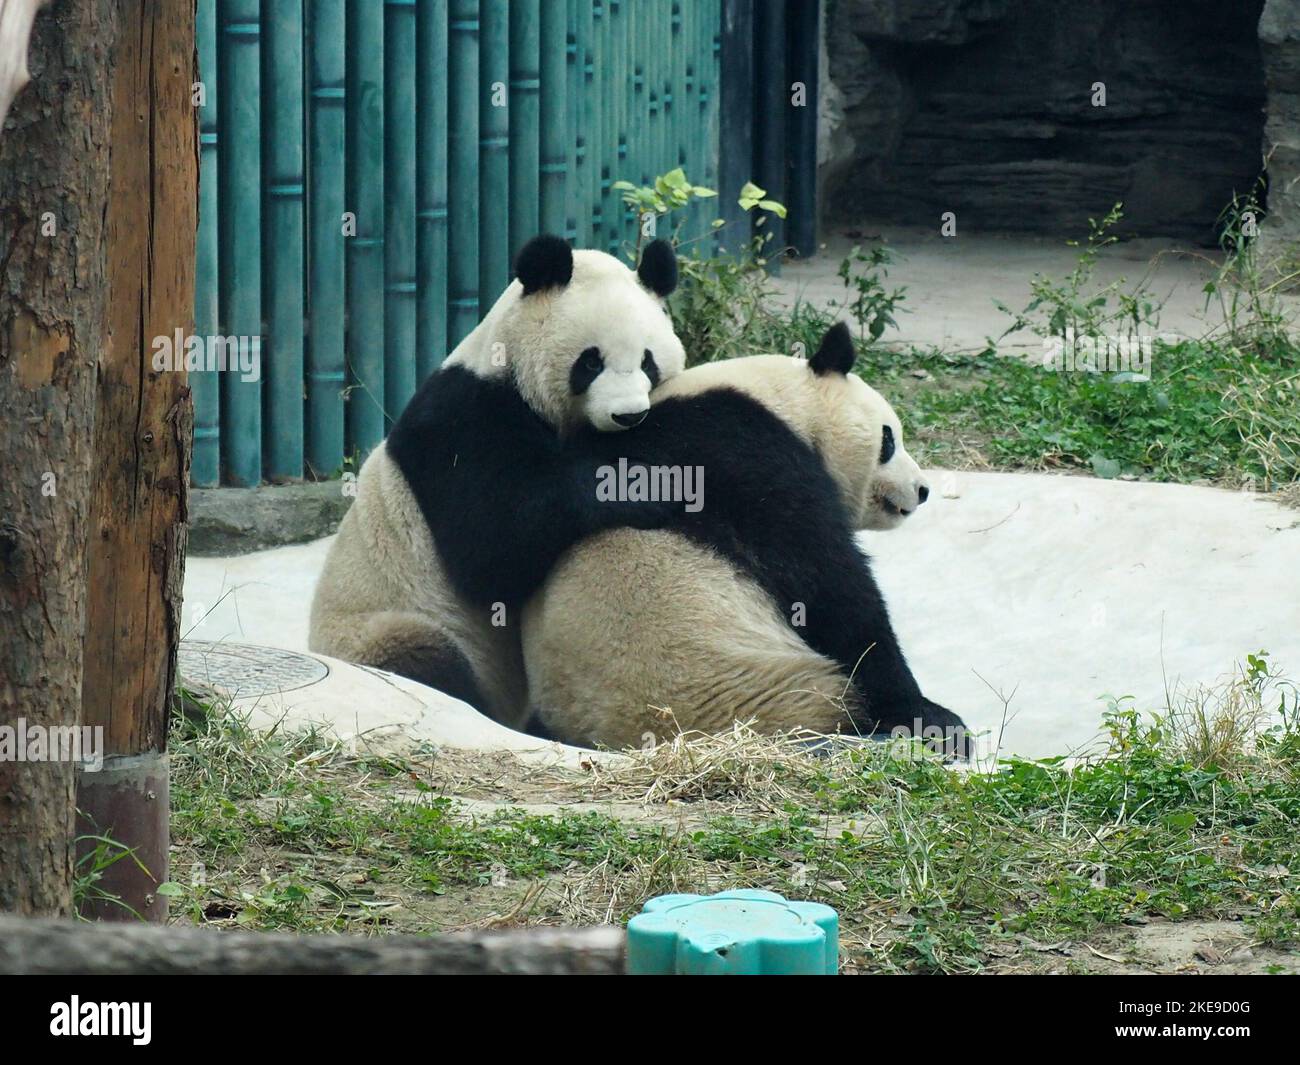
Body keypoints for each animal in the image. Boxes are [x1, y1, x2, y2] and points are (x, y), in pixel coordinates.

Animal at [308, 235, 685, 729]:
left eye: (648, 361)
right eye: (590, 362)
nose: (628, 415)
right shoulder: (462, 420)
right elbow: (492, 545)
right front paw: (647, 485)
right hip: (385, 625)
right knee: (426, 660)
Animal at [521, 321, 971, 755]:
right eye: (889, 439)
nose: (922, 490)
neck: (782, 402)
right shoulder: (744, 452)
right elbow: (829, 586)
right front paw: (929, 718)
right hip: (762, 690)